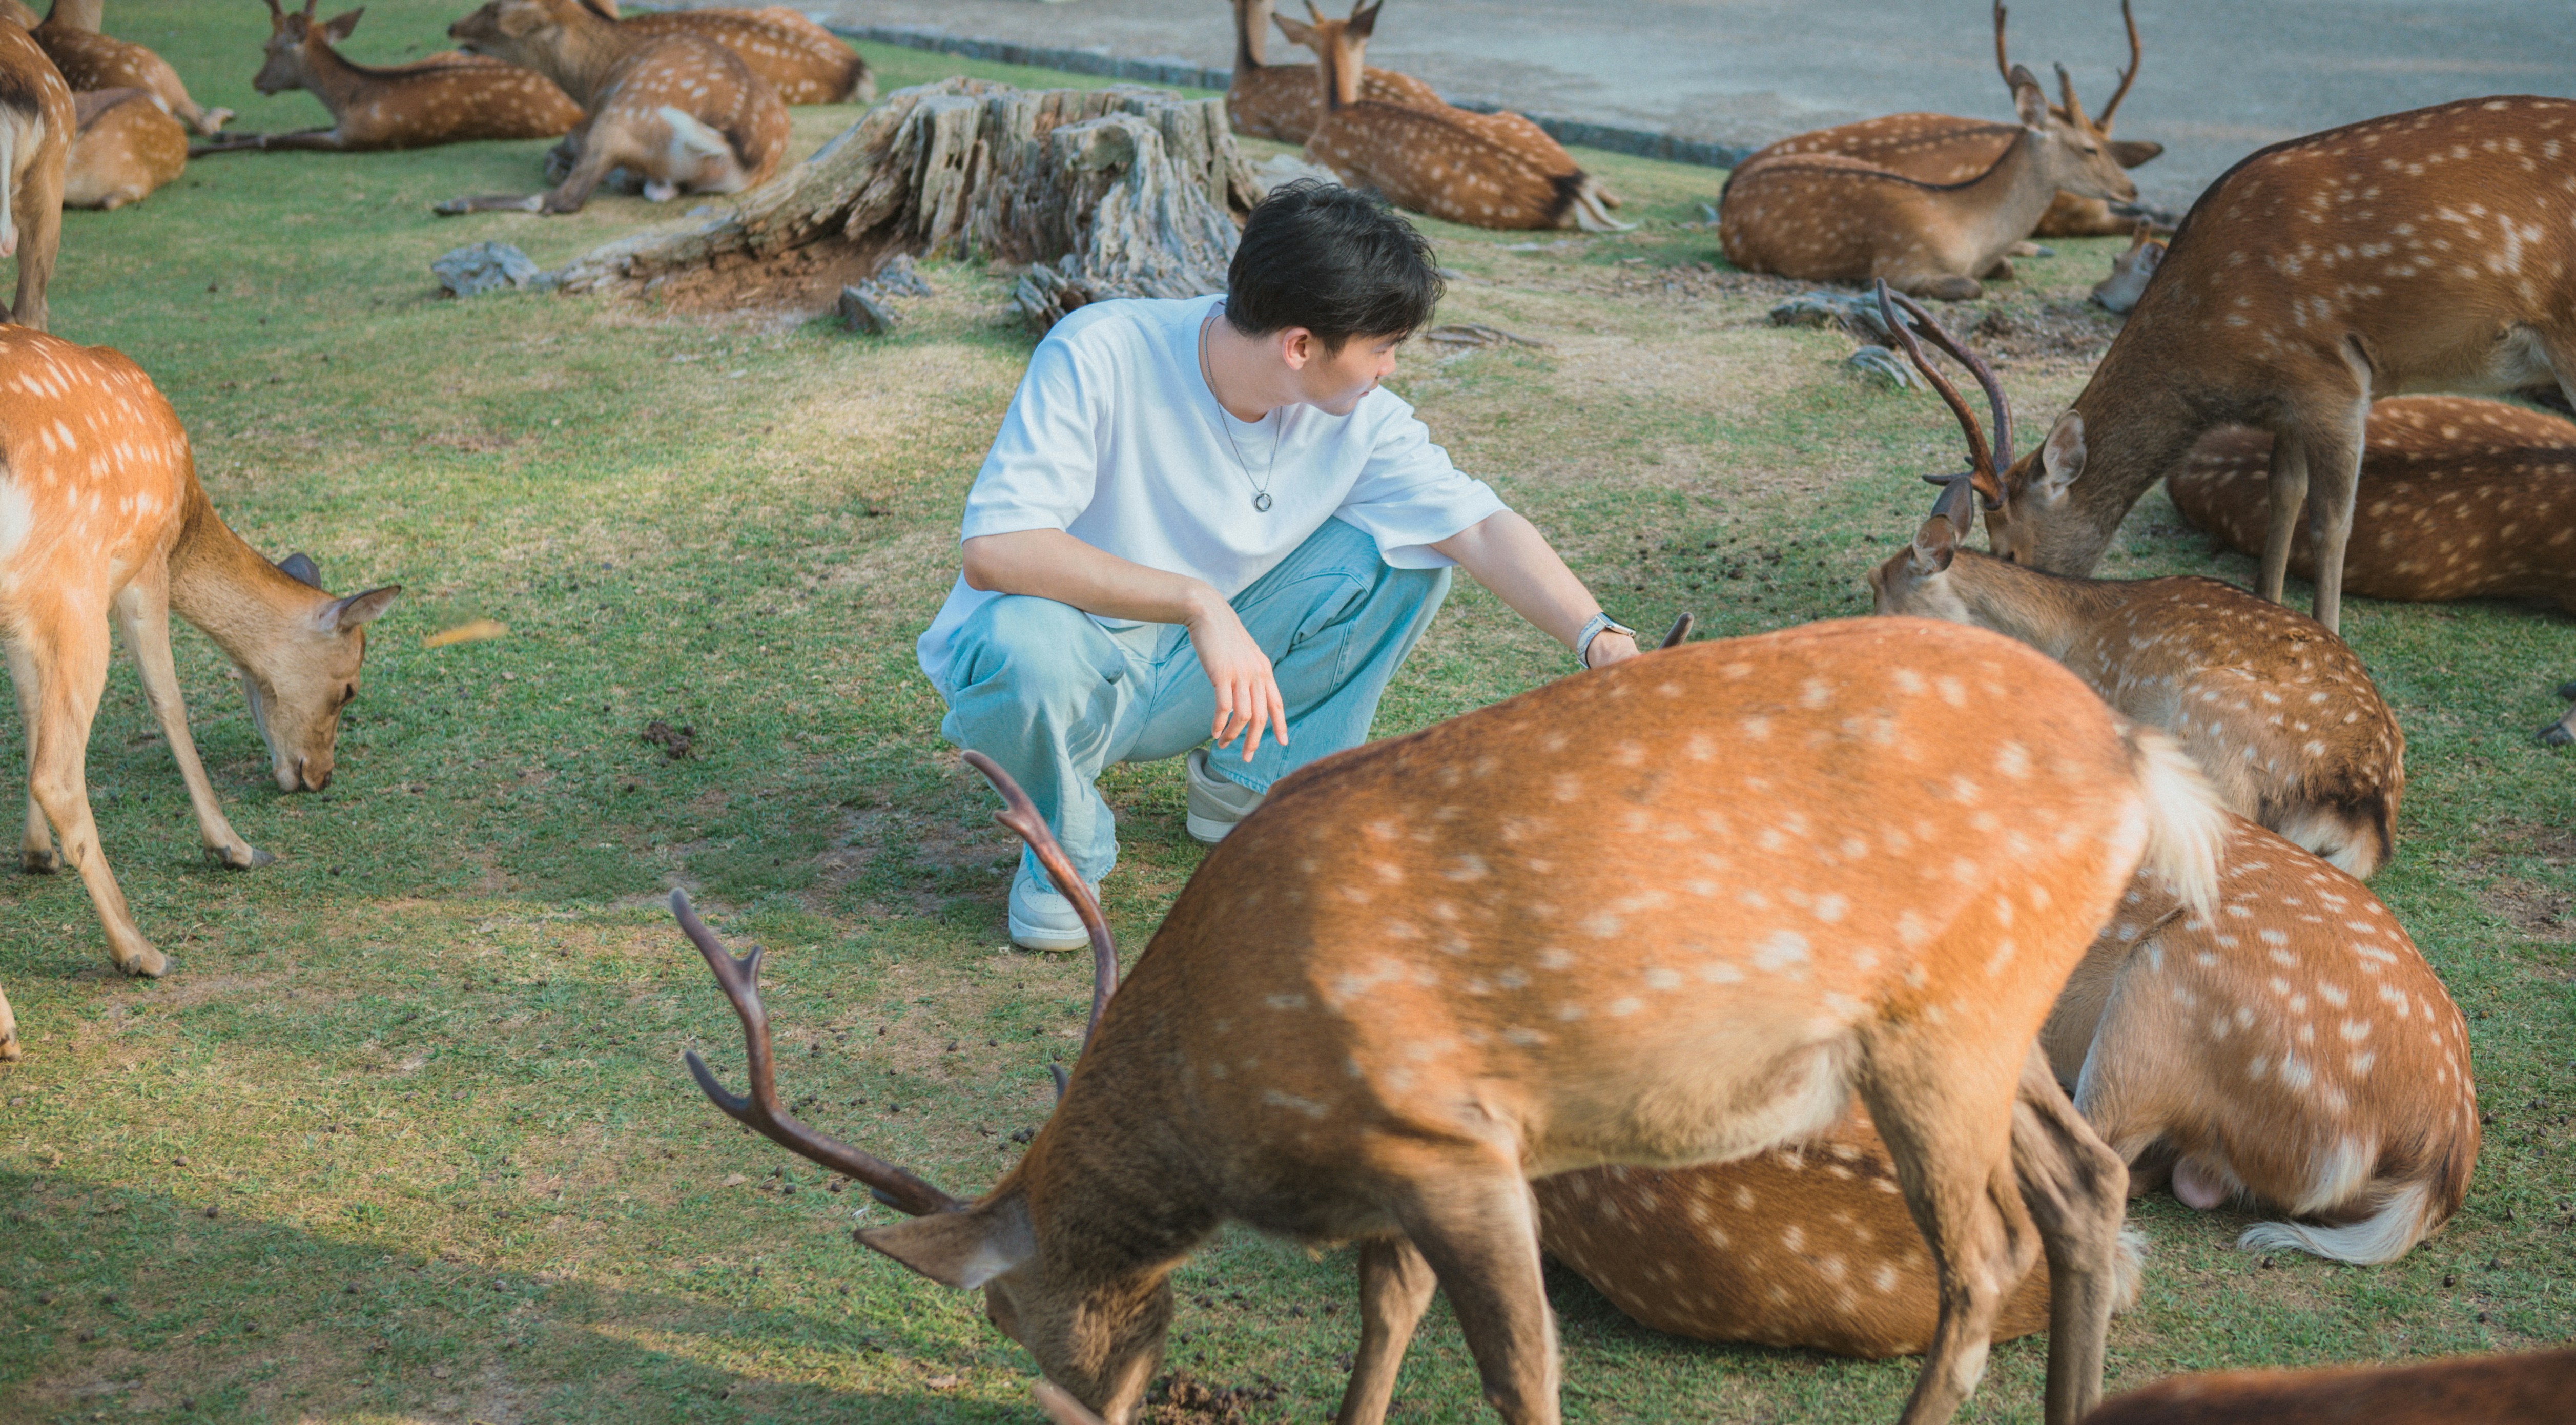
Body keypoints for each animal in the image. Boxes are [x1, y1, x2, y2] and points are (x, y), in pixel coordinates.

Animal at [0, 327, 400, 1062]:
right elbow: (169, 703)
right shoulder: (140, 566)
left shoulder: (20, 615)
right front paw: (232, 846)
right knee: (60, 774)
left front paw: (36, 854)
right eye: (350, 689)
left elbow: (28, 706)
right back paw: (135, 953)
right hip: (73, 582)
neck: (184, 506)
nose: (321, 777)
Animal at [220, 0, 583, 153]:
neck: (347, 102)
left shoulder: (360, 139)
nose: (256, 82)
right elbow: (294, 129)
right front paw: (222, 135)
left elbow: (274, 139)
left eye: (267, 48)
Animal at [437, 0, 788, 215]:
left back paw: (454, 203)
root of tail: (738, 156)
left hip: (618, 119)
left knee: (562, 199)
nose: (452, 26)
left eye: (494, 8)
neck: (590, 81)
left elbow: (551, 156)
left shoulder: (583, 127)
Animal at [683, 614, 2231, 1425]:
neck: (1238, 1113)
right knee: (2088, 1186)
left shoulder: (1450, 1133)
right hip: (1995, 1011)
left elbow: (1516, 1366)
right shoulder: (1393, 1171)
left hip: (1943, 1017)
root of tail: (2140, 756)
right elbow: (1387, 1324)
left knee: (1980, 1266)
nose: (1086, 1409)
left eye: (1003, 1306)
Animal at [1719, 64, 2134, 300]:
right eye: (2090, 148)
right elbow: (1970, 287)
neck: (1972, 235)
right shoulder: (1899, 264)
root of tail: (1728, 193)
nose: (2131, 190)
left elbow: (2003, 269)